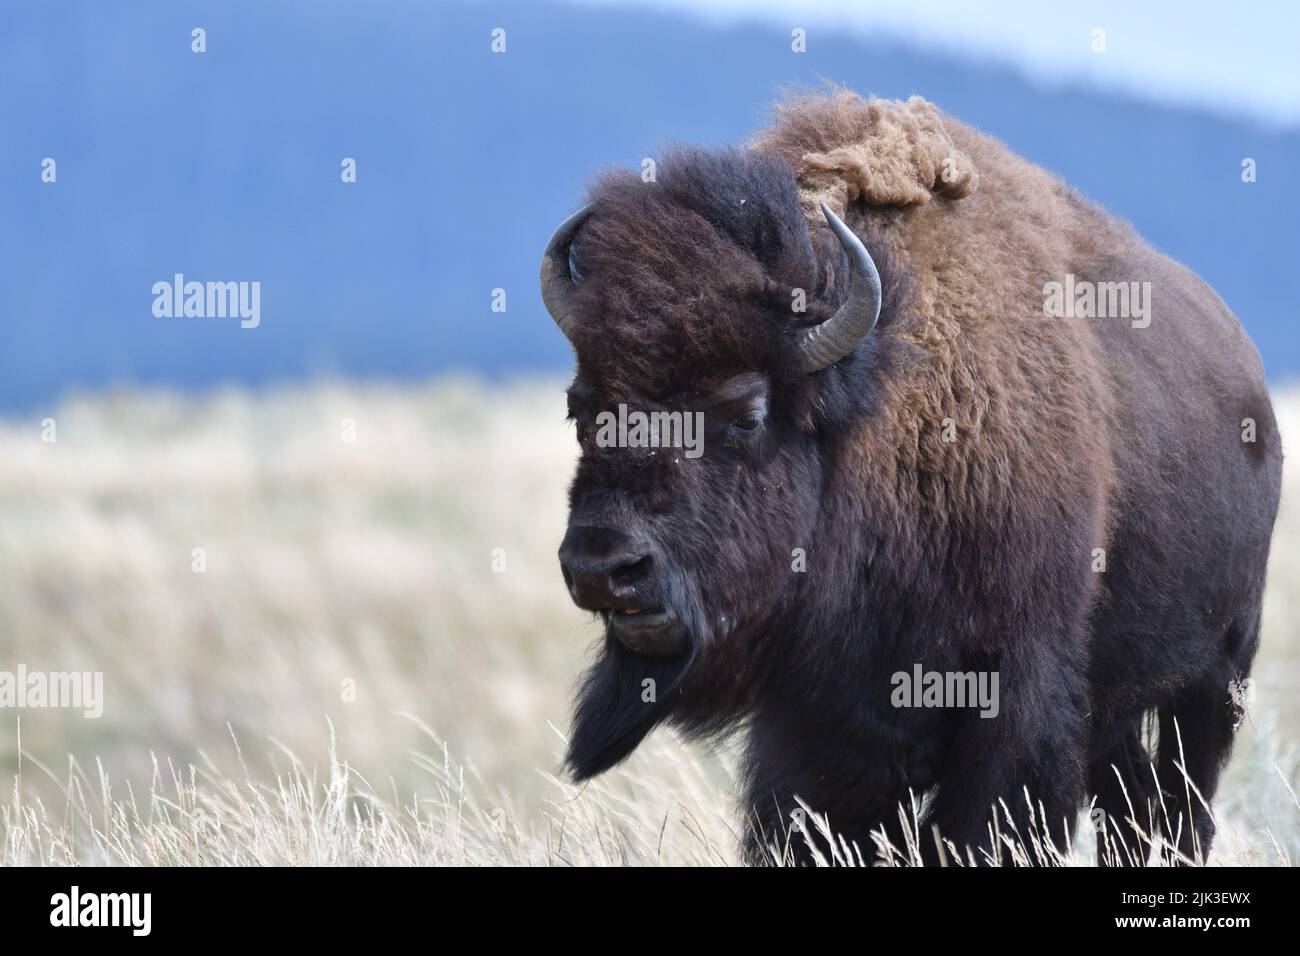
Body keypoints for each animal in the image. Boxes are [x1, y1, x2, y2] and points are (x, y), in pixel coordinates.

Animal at [542, 91, 1282, 865]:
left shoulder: (1016, 696)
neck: (879, 405)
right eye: (581, 409)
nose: (602, 566)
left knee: (1183, 801)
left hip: (1217, 675)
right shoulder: (816, 721)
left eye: (746, 413)